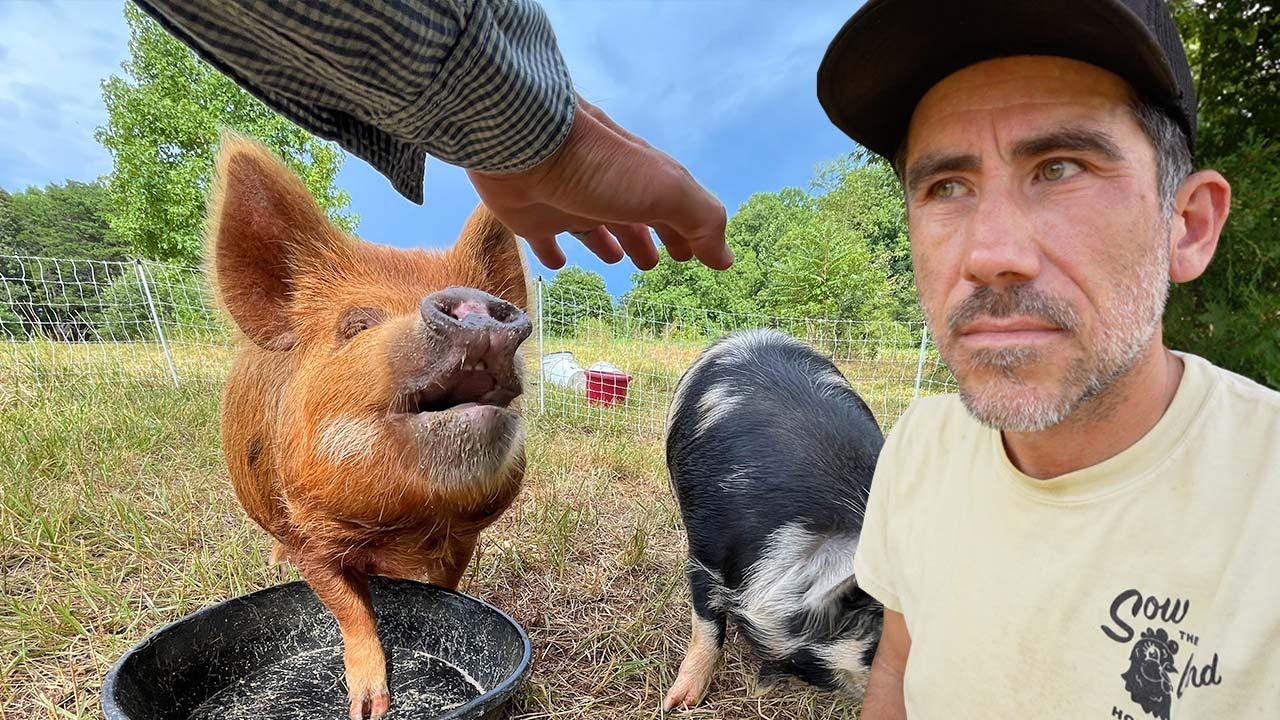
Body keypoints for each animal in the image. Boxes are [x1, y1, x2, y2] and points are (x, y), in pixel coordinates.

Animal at [207, 137, 532, 719]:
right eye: (356, 325)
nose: (472, 303)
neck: (405, 525)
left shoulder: (463, 539)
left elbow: (446, 587)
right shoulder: (311, 541)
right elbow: (350, 608)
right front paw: (369, 708)